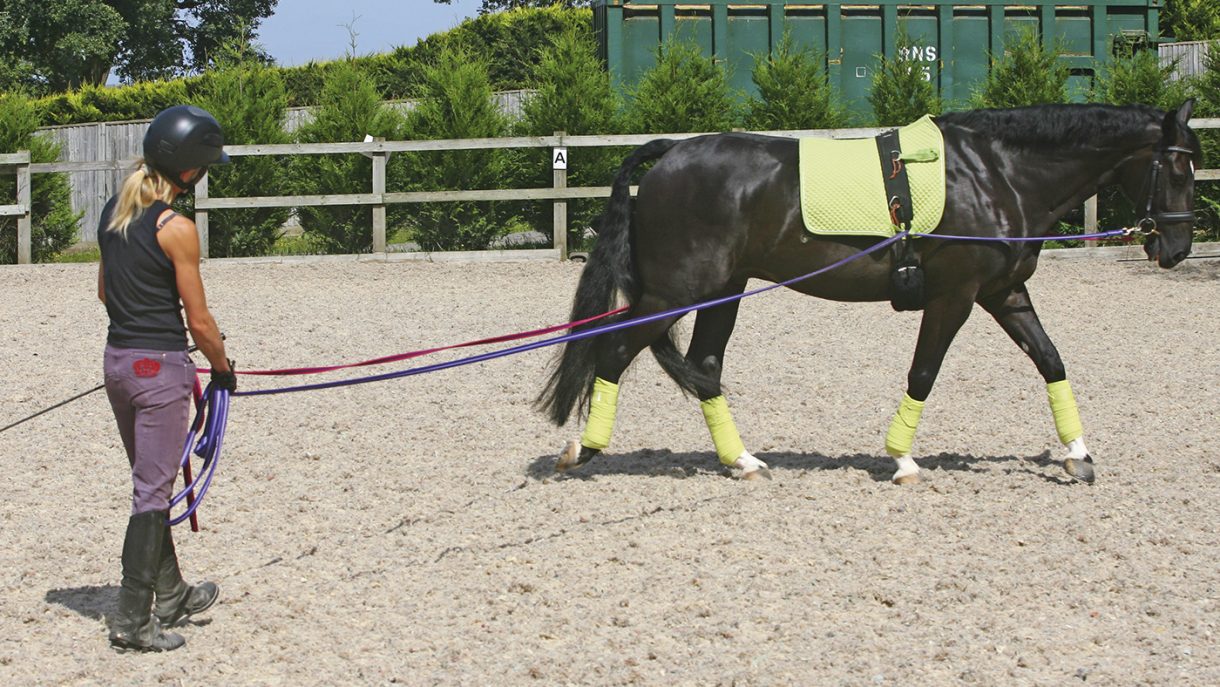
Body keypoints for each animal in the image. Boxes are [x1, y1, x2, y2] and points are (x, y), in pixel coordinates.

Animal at [537, 101, 1201, 485]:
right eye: (1178, 166)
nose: (1177, 249)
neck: (997, 173)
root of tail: (671, 150)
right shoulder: (956, 296)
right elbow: (924, 372)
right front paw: (902, 460)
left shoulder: (1005, 293)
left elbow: (1051, 362)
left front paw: (1078, 455)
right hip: (678, 291)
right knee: (615, 351)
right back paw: (582, 452)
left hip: (723, 292)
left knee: (703, 365)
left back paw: (742, 461)